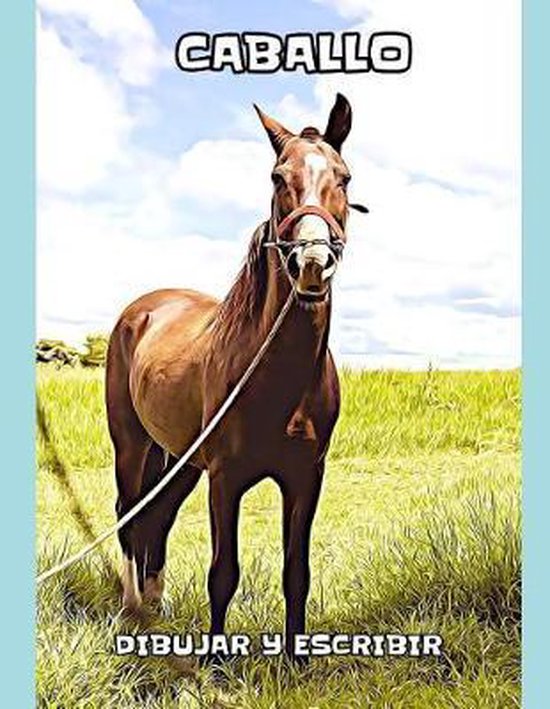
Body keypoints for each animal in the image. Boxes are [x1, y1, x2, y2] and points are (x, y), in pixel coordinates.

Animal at [105, 93, 366, 657]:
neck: (276, 378)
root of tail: (143, 309)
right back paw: (134, 610)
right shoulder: (225, 478)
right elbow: (222, 573)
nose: (312, 263)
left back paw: (155, 607)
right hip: (132, 445)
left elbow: (297, 573)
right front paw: (215, 663)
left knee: (157, 518)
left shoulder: (306, 478)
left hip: (181, 460)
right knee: (129, 513)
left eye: (344, 176)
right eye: (277, 176)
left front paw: (296, 662)